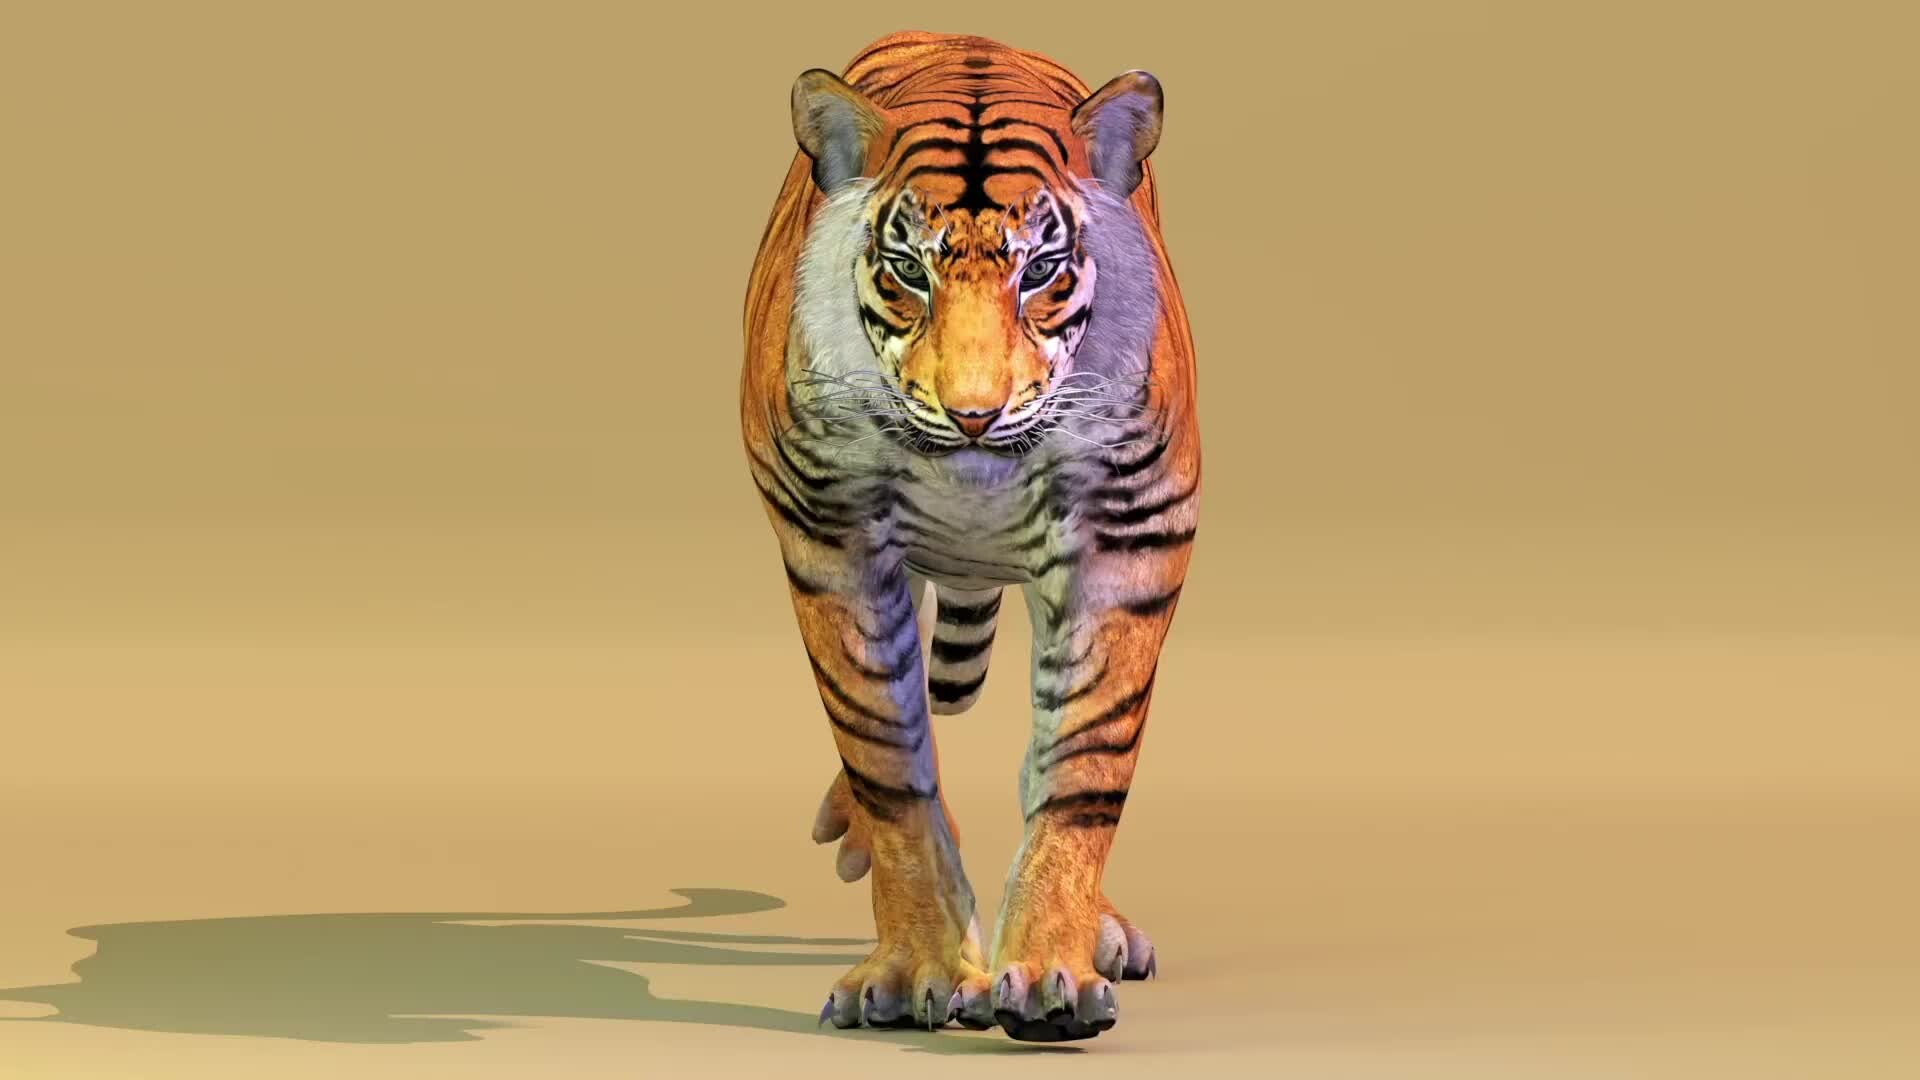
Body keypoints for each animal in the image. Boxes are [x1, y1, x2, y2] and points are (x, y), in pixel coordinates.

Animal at [739, 31, 1199, 1042]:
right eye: (910, 271)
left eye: (1043, 271)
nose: (975, 414)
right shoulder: (832, 537)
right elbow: (889, 764)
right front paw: (917, 967)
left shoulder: (1130, 535)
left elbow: (1083, 769)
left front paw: (1050, 974)